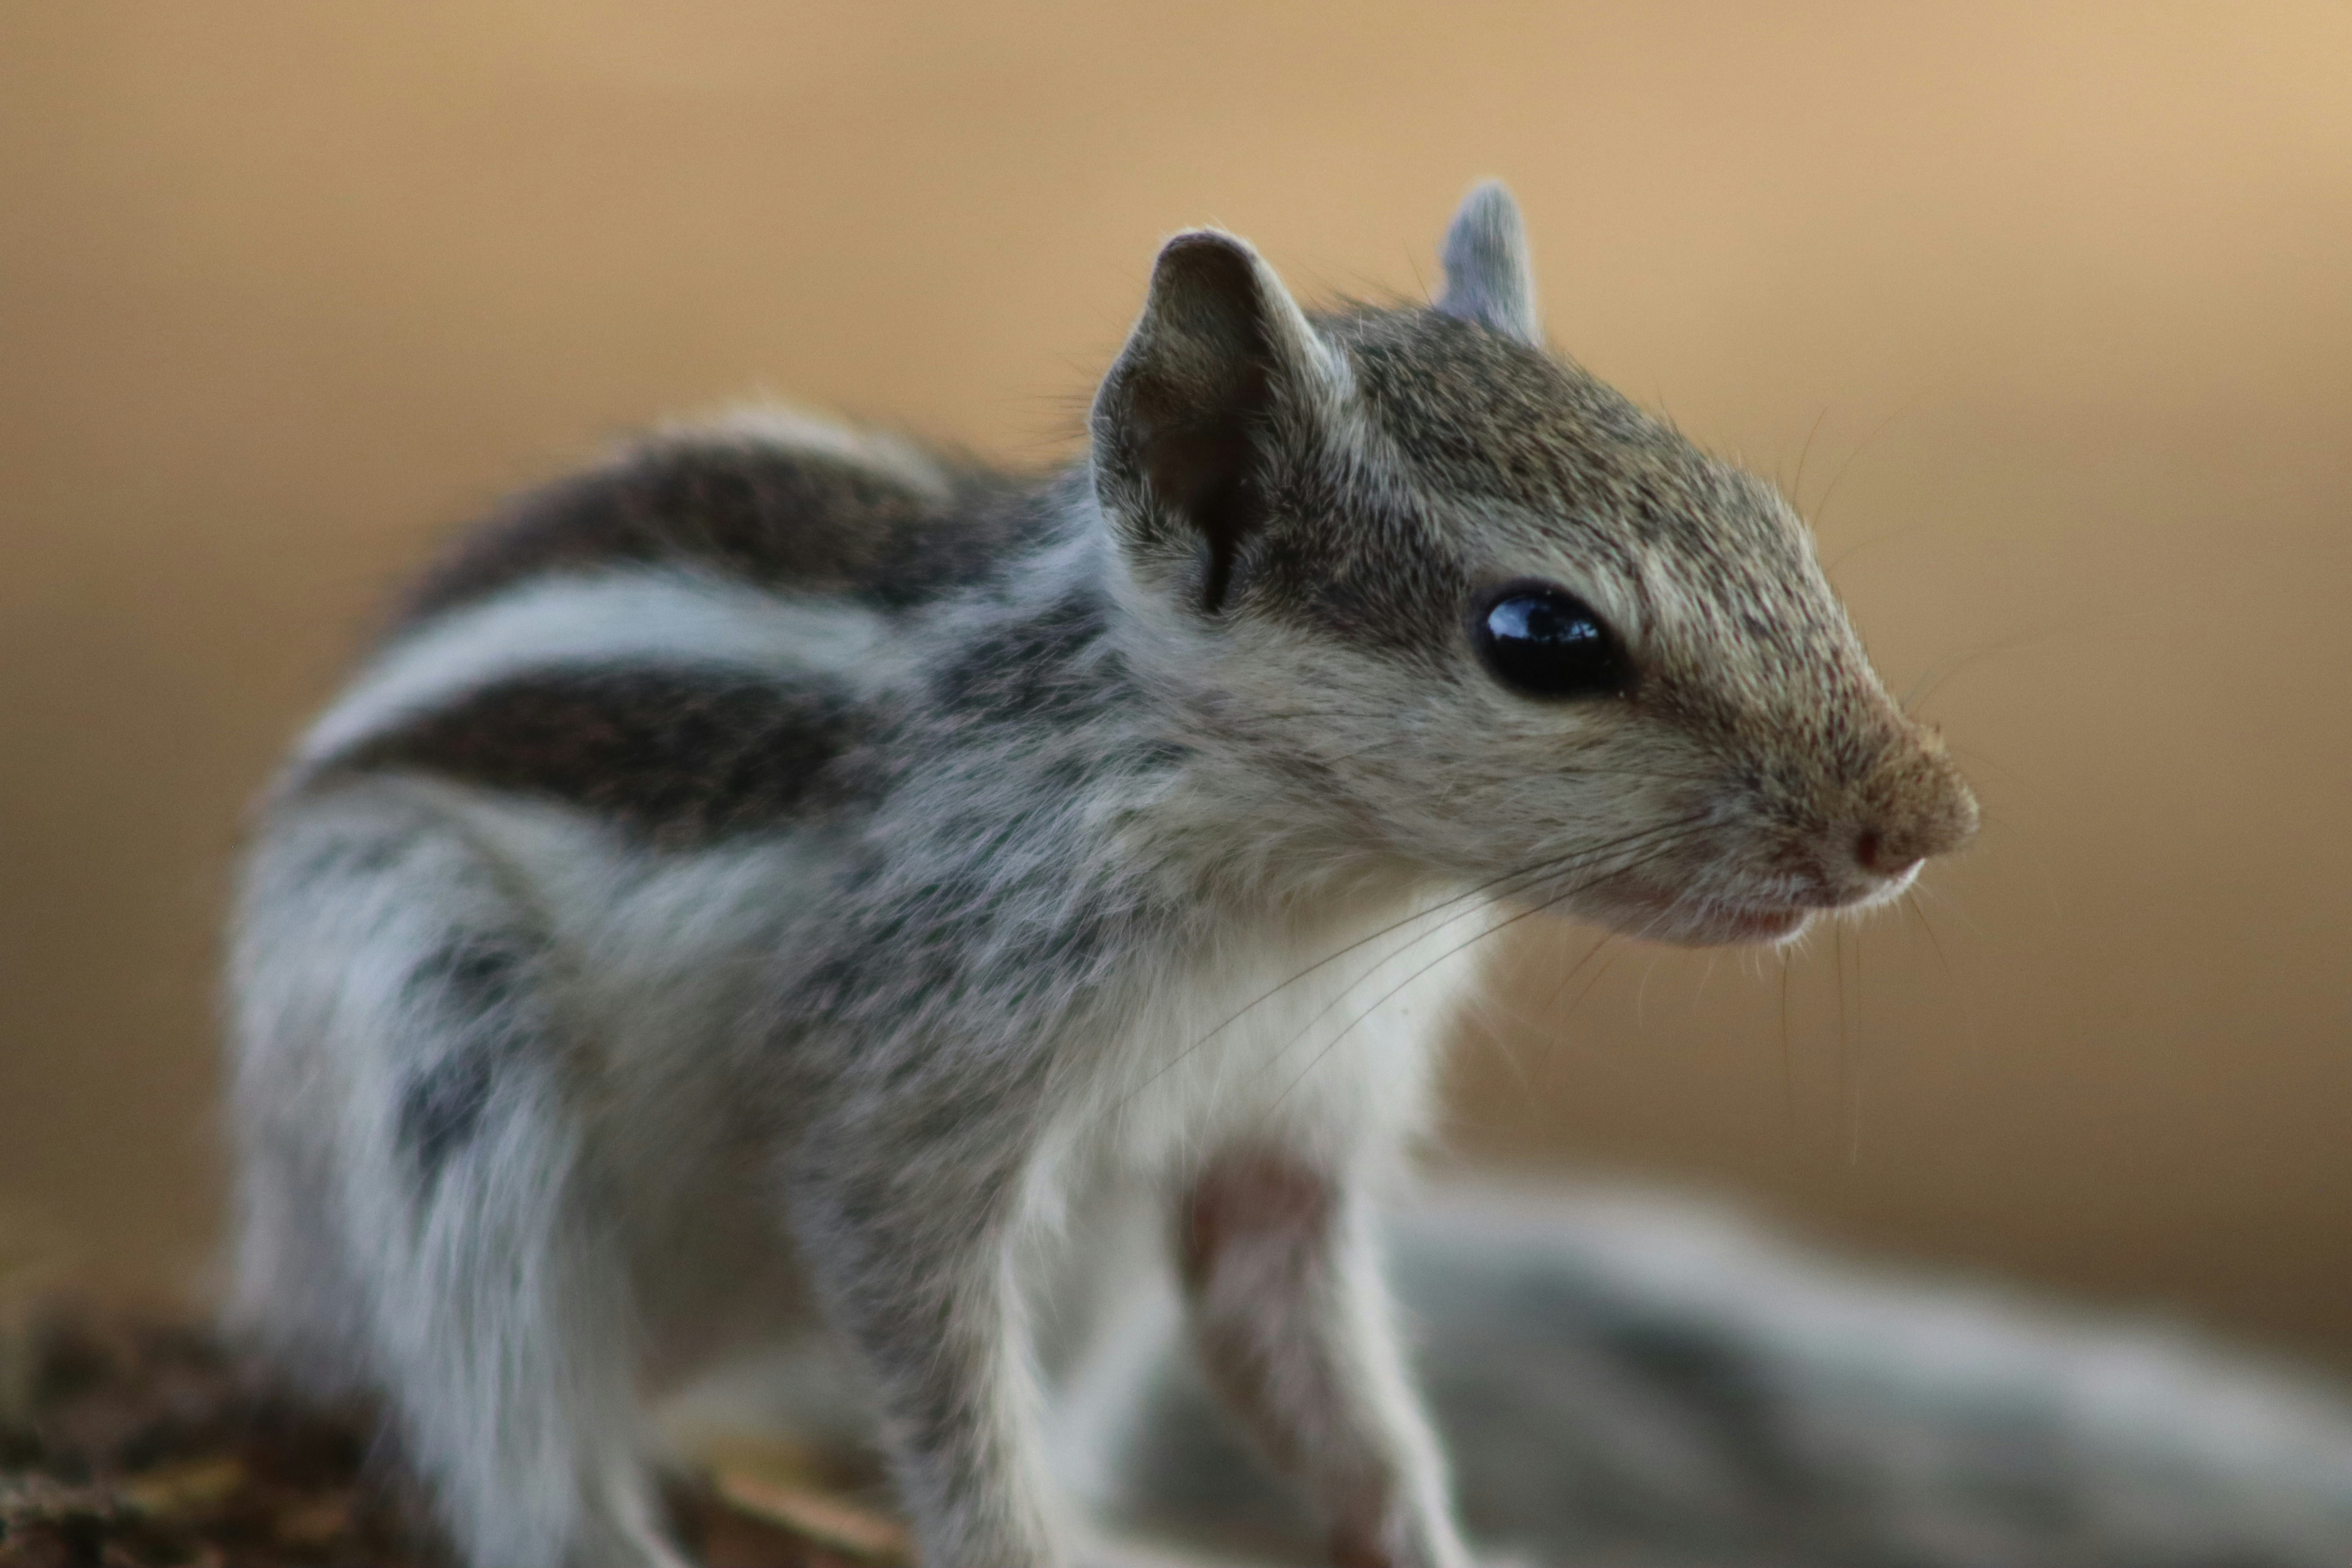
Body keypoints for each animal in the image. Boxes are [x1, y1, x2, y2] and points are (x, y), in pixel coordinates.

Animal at [224, 183, 1981, 1568]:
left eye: (1774, 525)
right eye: (1544, 638)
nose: (1928, 822)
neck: (1305, 882)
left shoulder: (1289, 1129)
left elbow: (1331, 1382)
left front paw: (1426, 1537)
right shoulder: (907, 1100)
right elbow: (935, 1357)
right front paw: (1009, 1543)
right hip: (424, 1020)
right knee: (500, 1410)